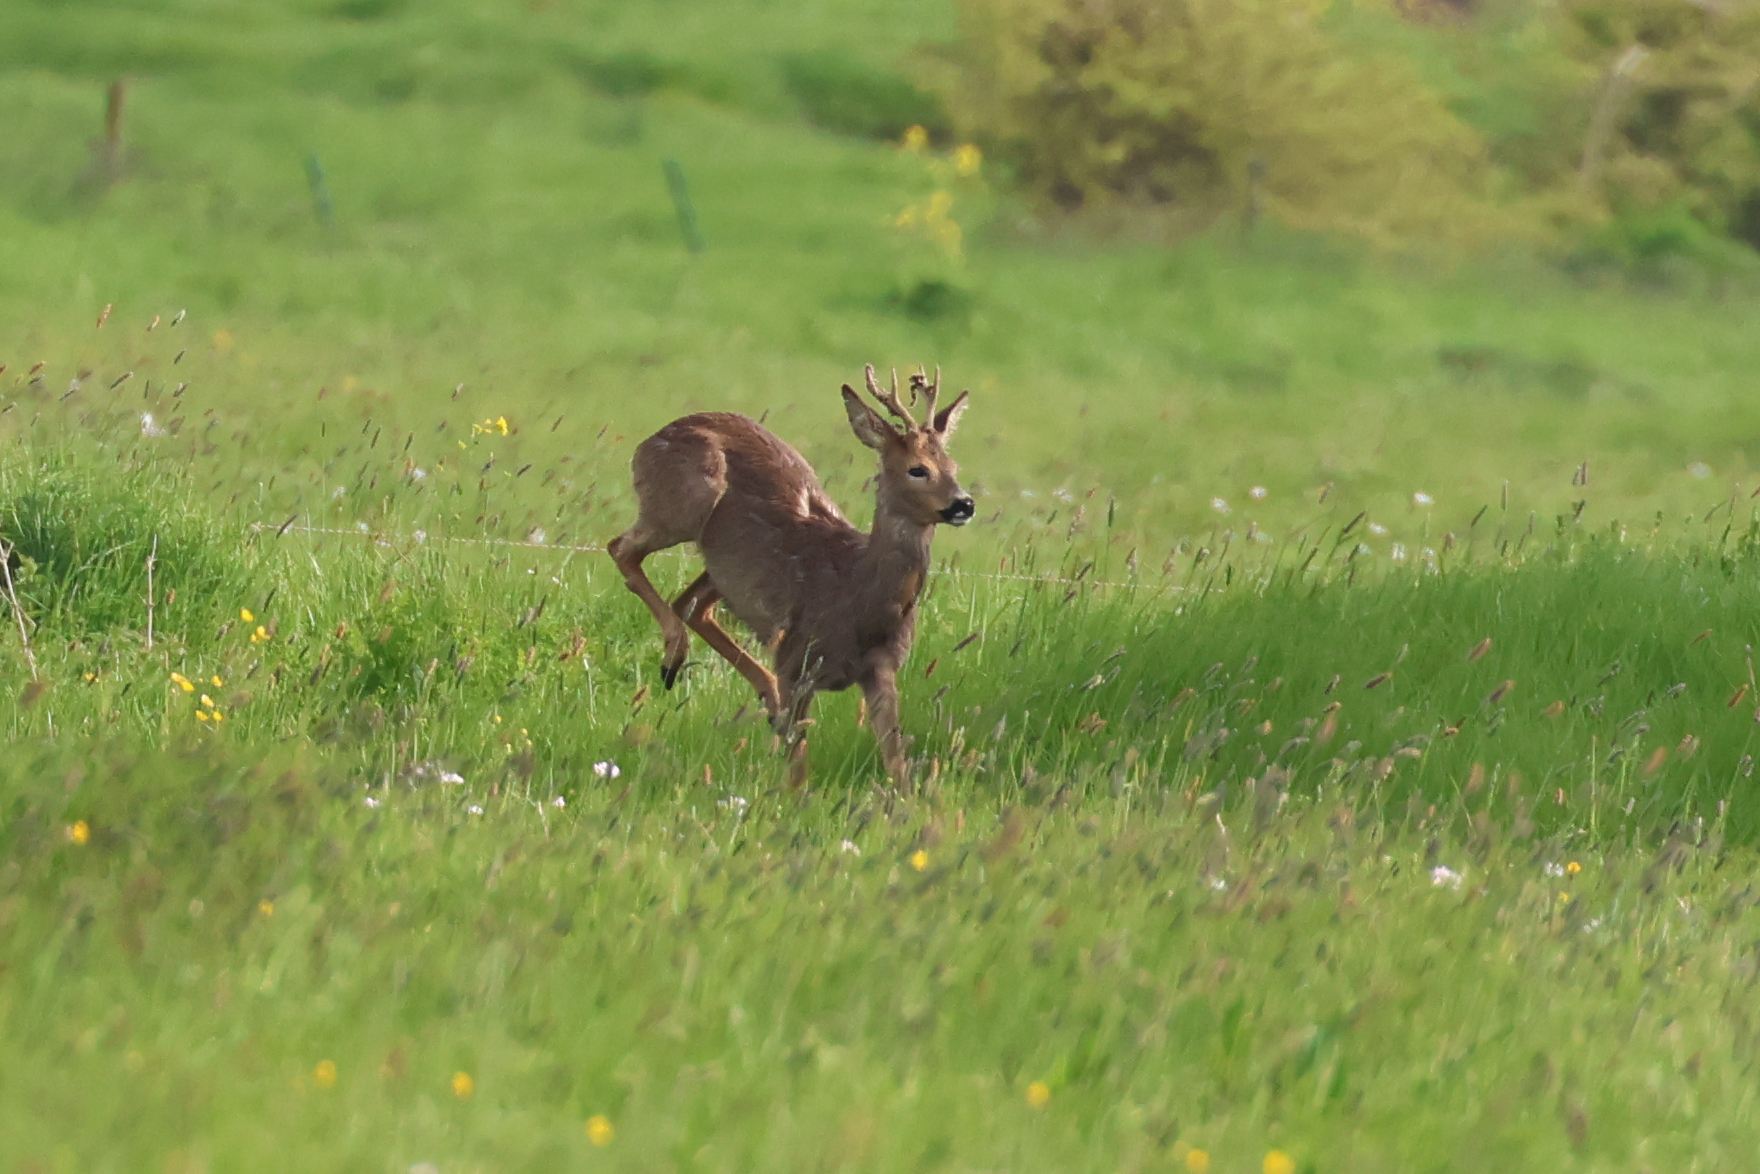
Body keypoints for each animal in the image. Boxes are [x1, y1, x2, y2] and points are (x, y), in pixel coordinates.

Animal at [608, 365, 973, 787]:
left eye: (954, 468)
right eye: (918, 469)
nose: (964, 503)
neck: (857, 591)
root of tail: (649, 440)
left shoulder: (881, 669)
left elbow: (896, 762)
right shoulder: (796, 660)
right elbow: (799, 769)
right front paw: (792, 796)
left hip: (721, 563)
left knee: (690, 602)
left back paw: (763, 699)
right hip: (683, 506)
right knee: (621, 549)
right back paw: (676, 659)